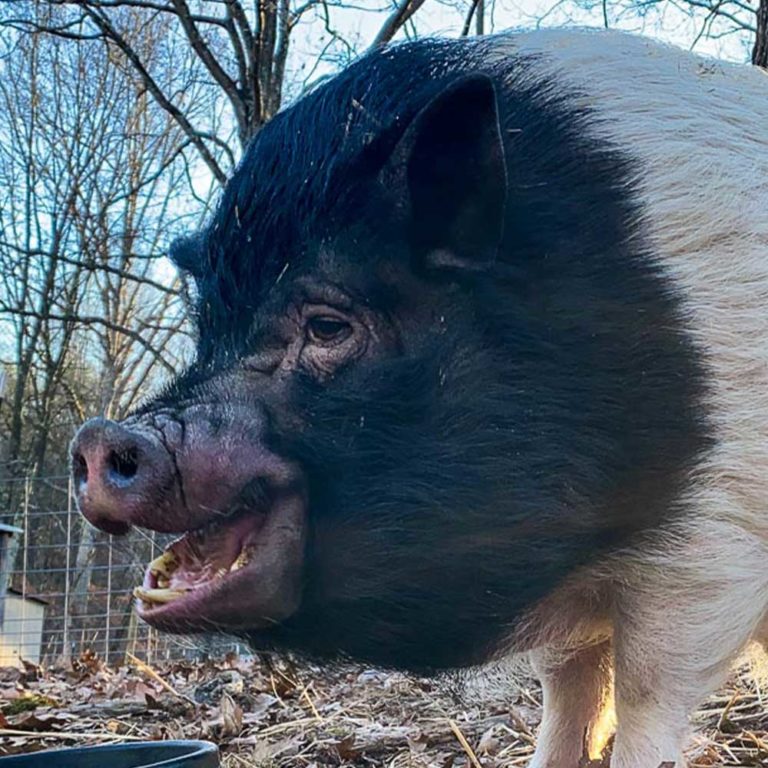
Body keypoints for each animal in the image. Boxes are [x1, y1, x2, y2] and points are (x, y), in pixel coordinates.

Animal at [70, 27, 768, 768]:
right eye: (209, 330)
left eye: (327, 326)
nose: (98, 437)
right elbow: (567, 696)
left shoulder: (710, 554)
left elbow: (647, 703)